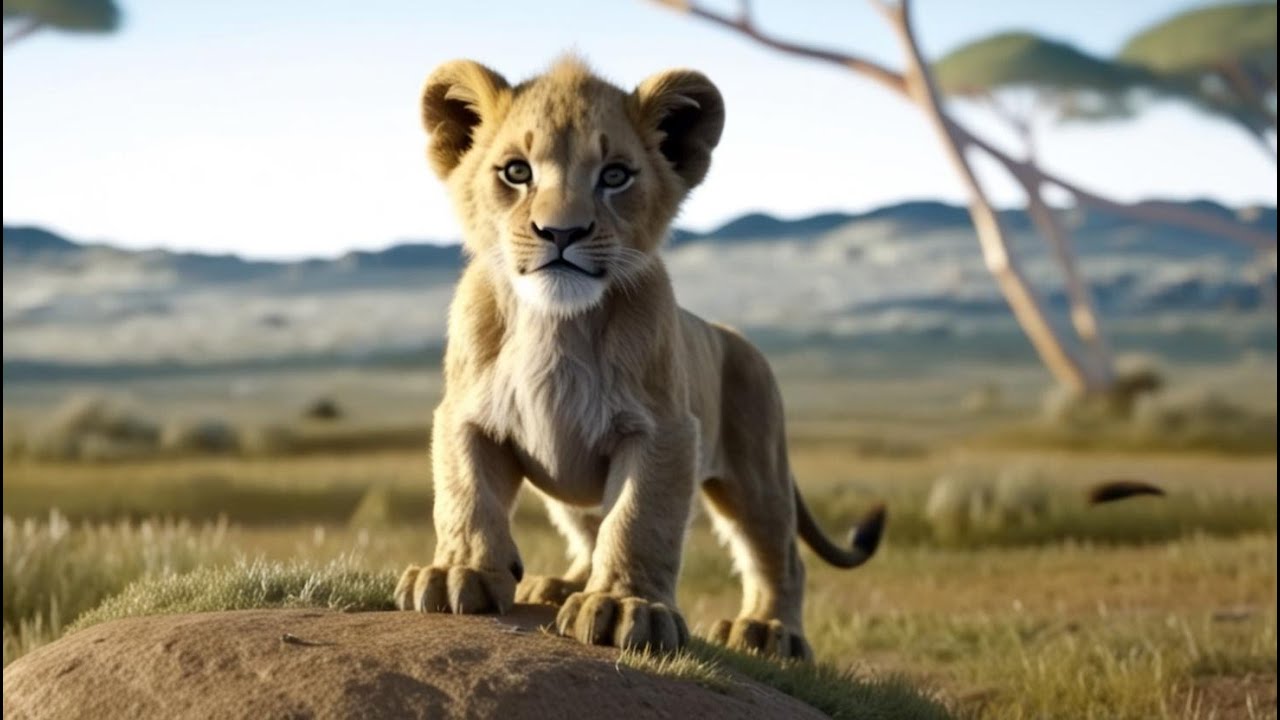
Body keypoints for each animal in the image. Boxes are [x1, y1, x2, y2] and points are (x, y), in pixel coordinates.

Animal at [394, 55, 886, 660]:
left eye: (614, 176)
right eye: (515, 172)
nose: (561, 231)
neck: (557, 326)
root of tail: (733, 336)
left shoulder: (665, 430)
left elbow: (637, 519)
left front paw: (625, 608)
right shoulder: (465, 416)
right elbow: (466, 493)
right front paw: (456, 573)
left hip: (758, 469)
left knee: (778, 555)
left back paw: (768, 631)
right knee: (587, 528)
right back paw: (560, 585)